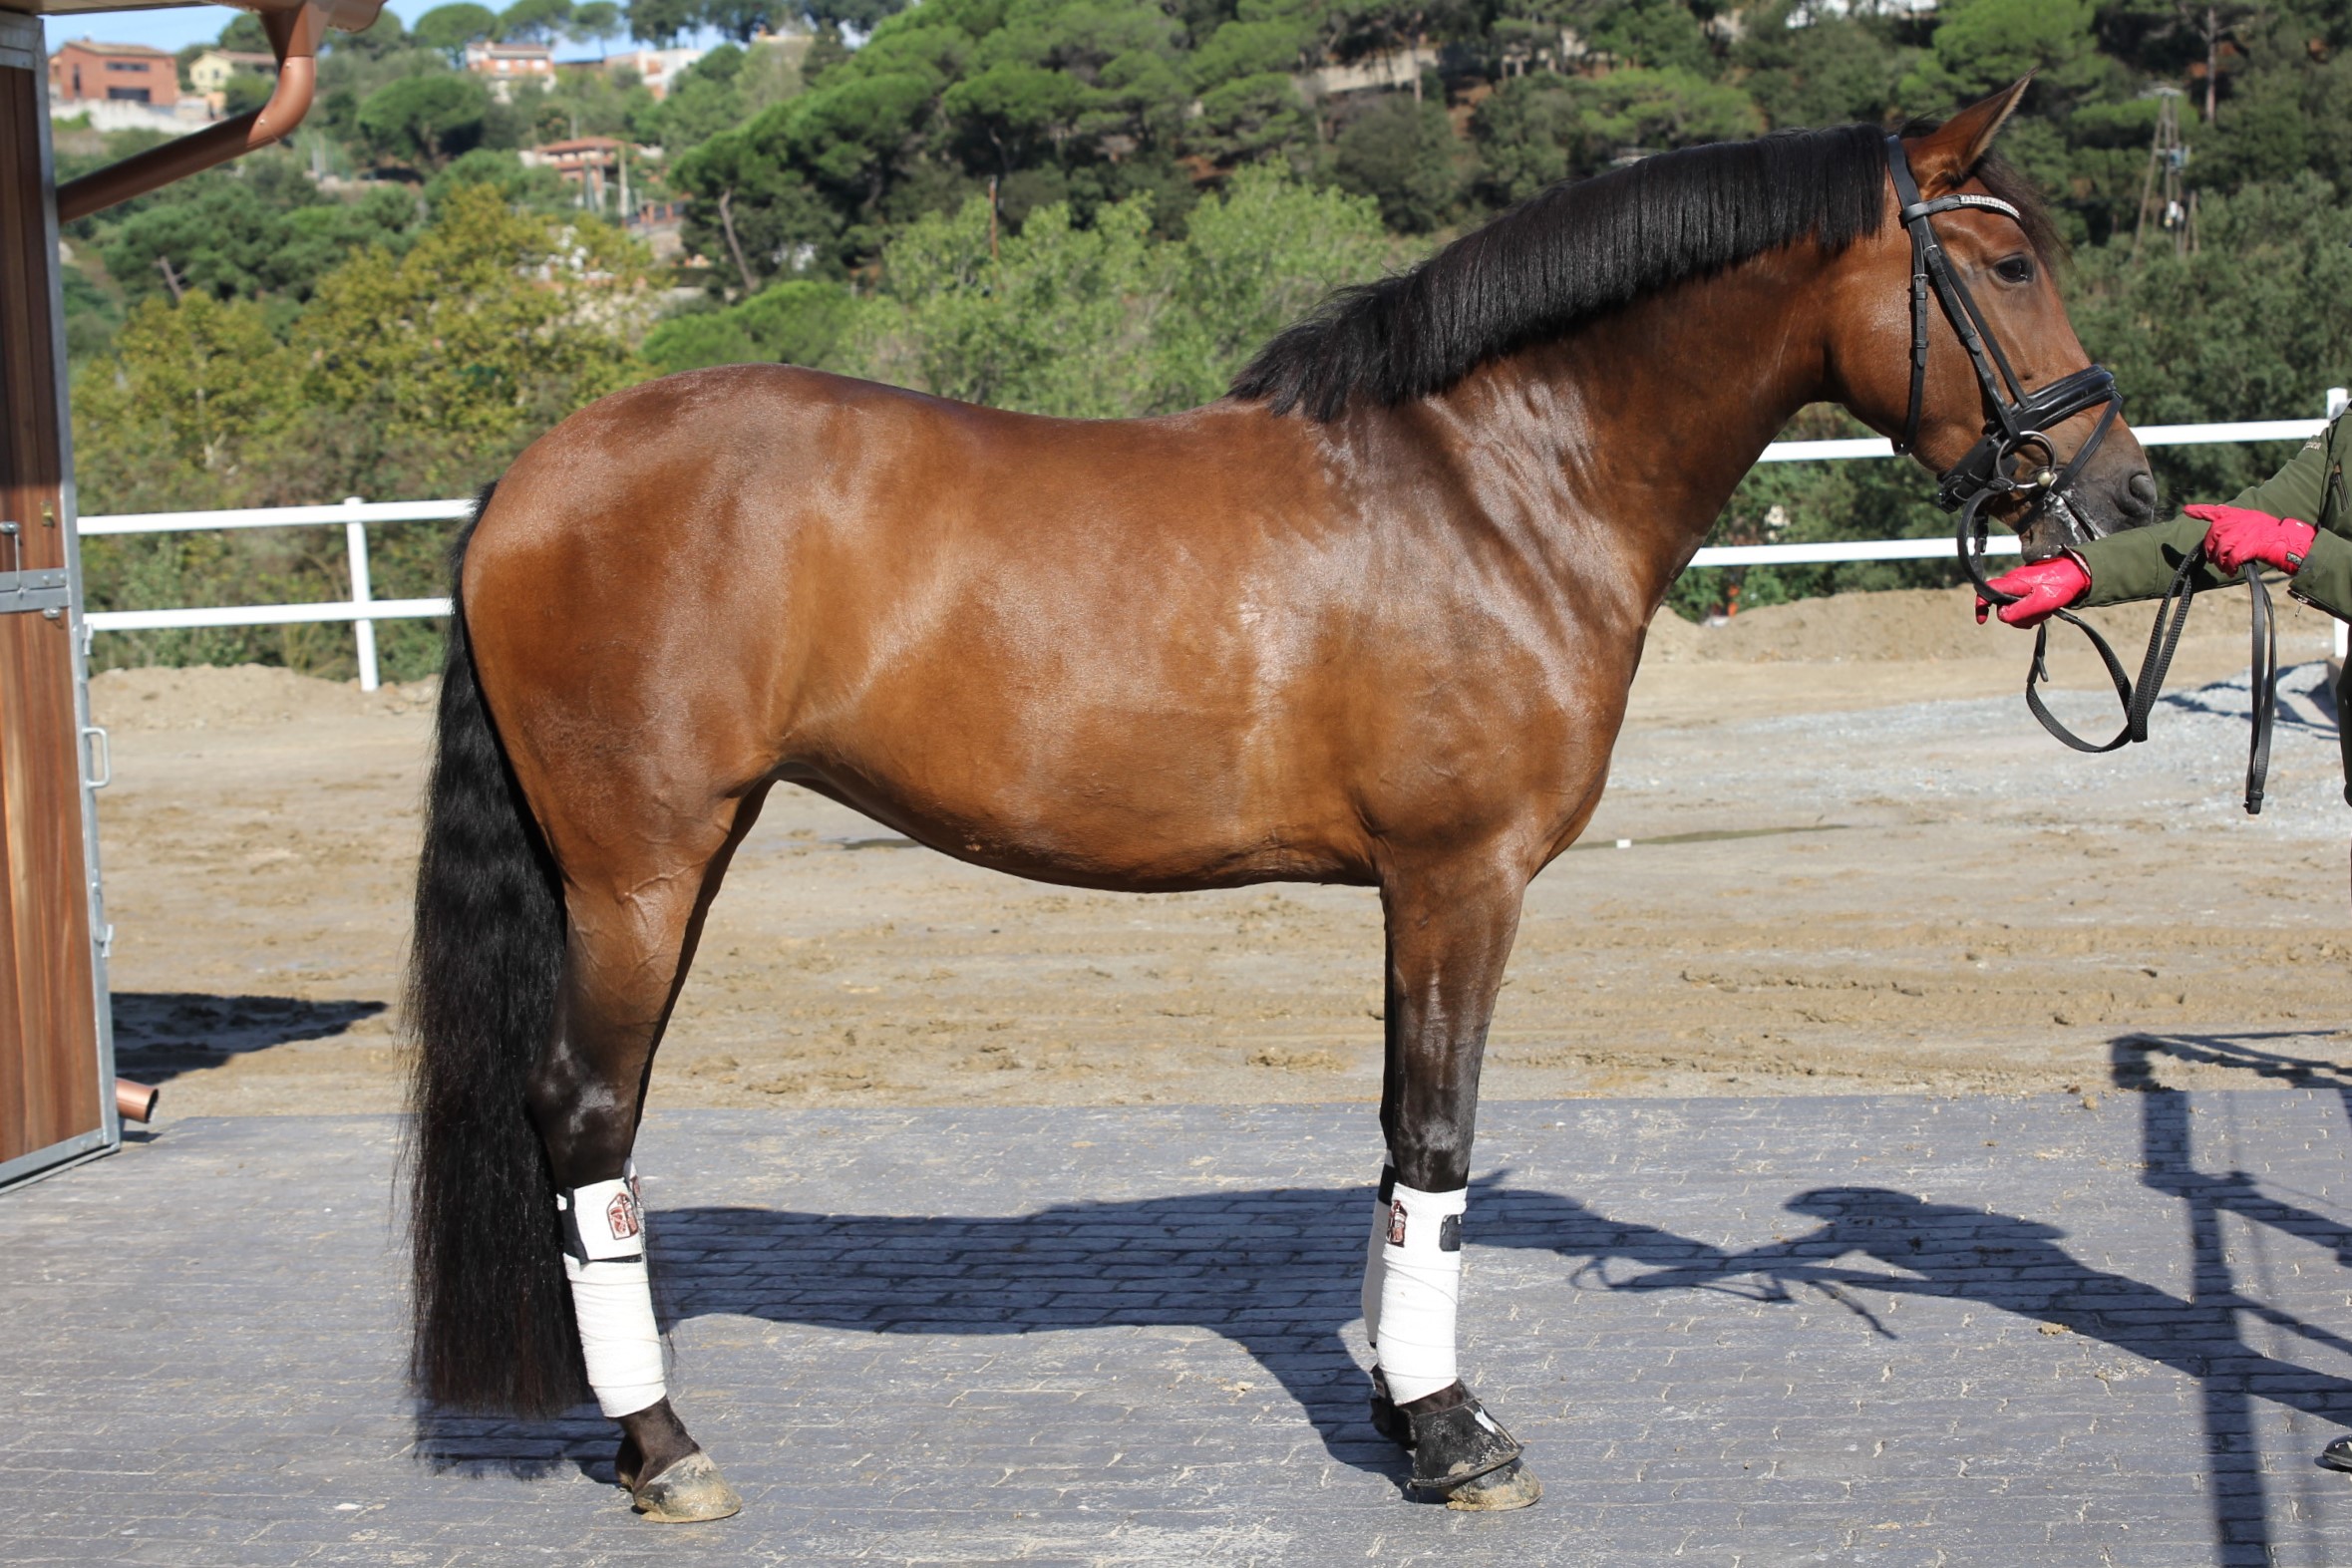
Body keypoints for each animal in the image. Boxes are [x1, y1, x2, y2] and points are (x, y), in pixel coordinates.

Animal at [405, 77, 2157, 1521]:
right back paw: (664, 1450)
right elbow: (1436, 1141)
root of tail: (533, 475)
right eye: (2005, 268)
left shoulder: (1413, 891)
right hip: (638, 871)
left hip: (671, 865)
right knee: (585, 1115)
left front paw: (1396, 1408)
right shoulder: (1462, 877)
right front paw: (1451, 1436)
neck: (1486, 487)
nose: (2121, 487)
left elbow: (1393, 1145)